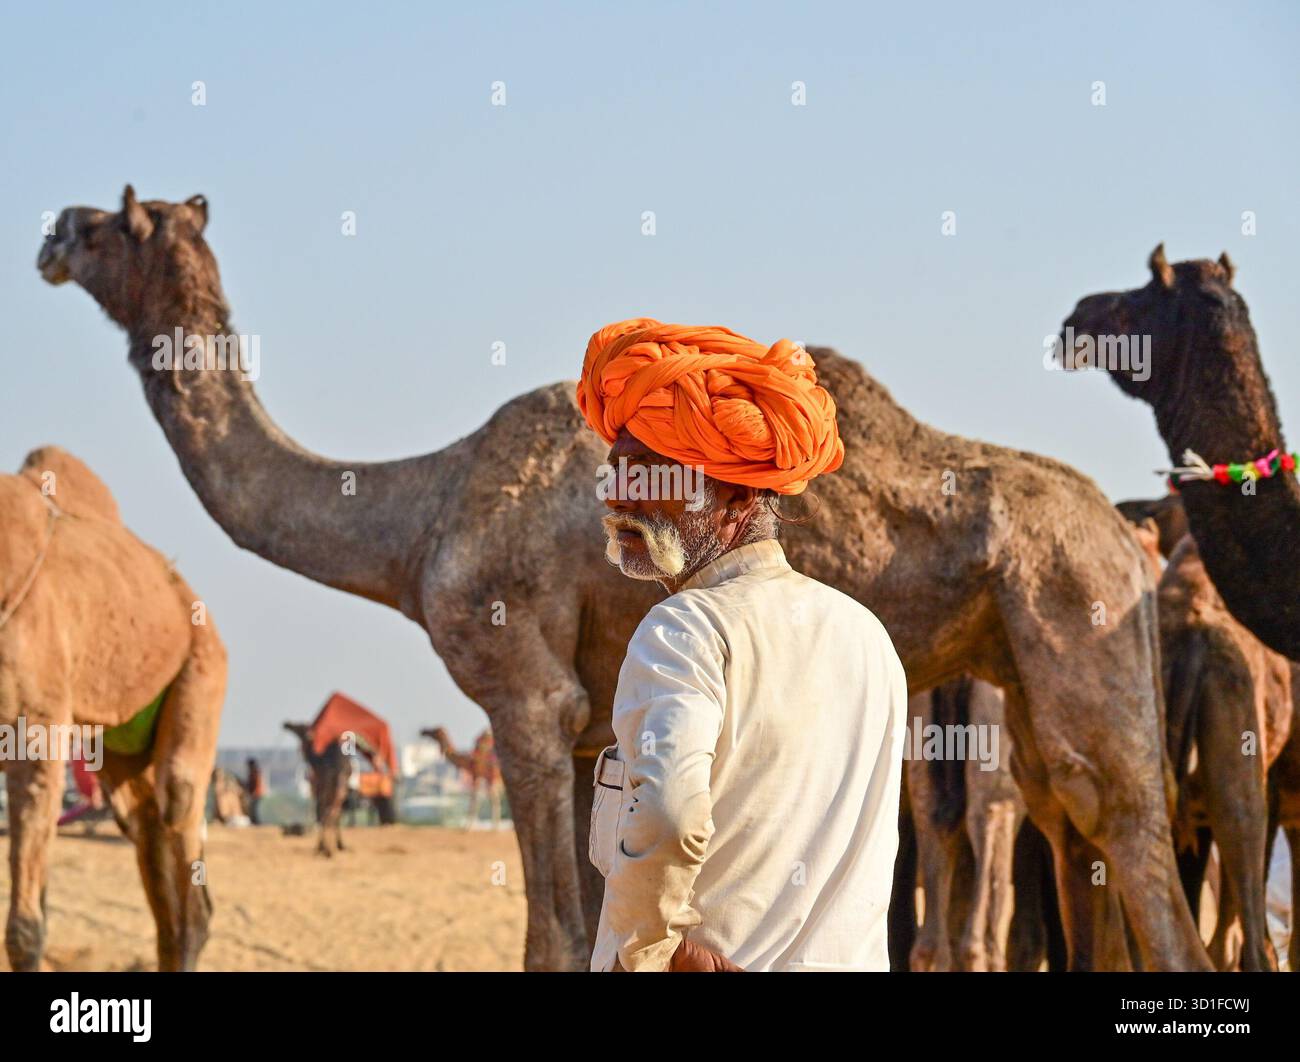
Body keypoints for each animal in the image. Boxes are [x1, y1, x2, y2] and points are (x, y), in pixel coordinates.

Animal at [0, 446, 225, 971]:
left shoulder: (34, 730)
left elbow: (24, 928)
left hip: (203, 663)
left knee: (178, 799)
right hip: (123, 740)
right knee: (145, 827)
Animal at [283, 722, 351, 857]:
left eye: (299, 728)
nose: (286, 724)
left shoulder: (318, 788)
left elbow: (321, 813)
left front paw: (324, 847)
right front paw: (337, 846)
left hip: (329, 789)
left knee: (328, 813)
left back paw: (327, 849)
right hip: (338, 789)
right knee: (332, 813)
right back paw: (330, 849)